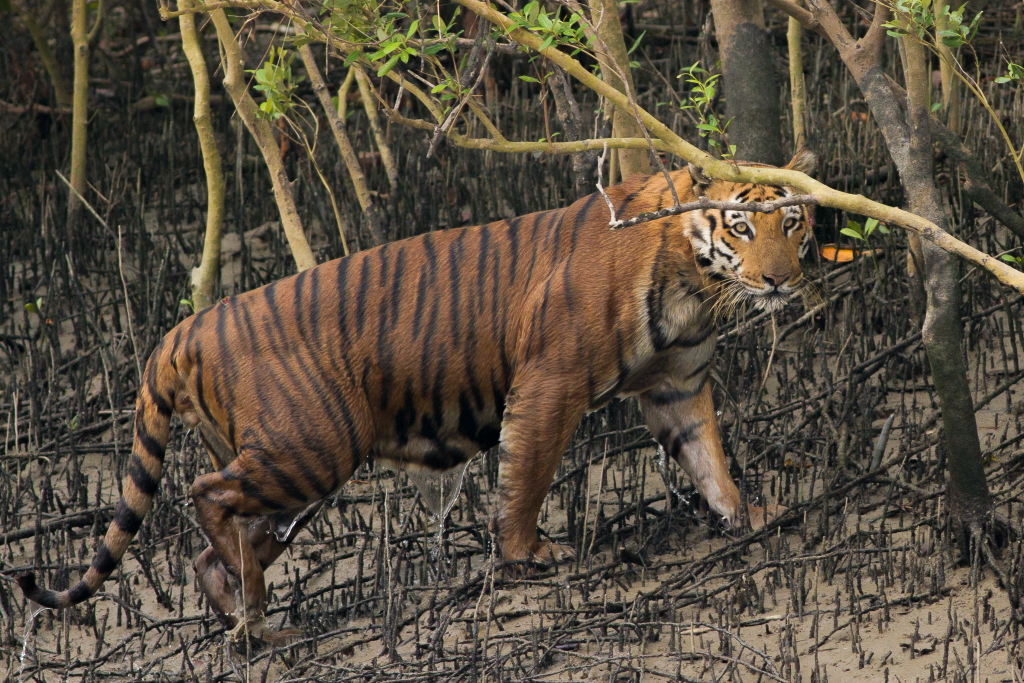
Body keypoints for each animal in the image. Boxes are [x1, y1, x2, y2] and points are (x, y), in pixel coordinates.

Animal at [19, 148, 817, 644]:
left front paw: (749, 516)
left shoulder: (679, 384)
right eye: (741, 223)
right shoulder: (551, 381)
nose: (781, 280)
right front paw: (527, 555)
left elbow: (710, 460)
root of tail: (183, 328)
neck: (697, 282)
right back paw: (254, 607)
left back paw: (256, 626)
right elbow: (527, 475)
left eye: (793, 221)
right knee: (203, 495)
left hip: (289, 480)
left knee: (210, 551)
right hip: (310, 447)